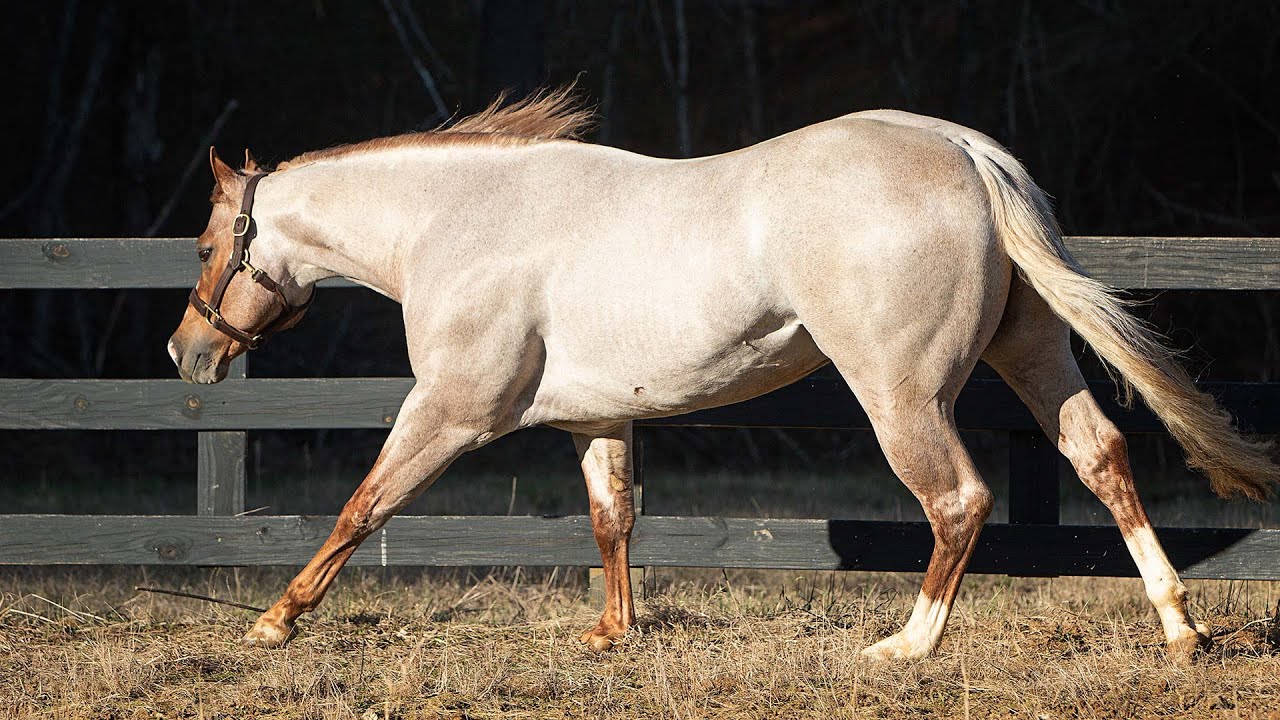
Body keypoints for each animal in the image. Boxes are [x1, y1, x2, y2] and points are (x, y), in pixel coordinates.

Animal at [167, 88, 1276, 661]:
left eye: (206, 244)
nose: (188, 353)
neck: (461, 223)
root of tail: (966, 151)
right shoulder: (596, 420)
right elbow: (611, 519)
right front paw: (609, 635)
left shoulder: (448, 411)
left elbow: (364, 506)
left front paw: (271, 623)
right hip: (1032, 351)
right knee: (1101, 454)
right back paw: (1180, 628)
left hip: (902, 393)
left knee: (957, 500)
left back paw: (906, 647)